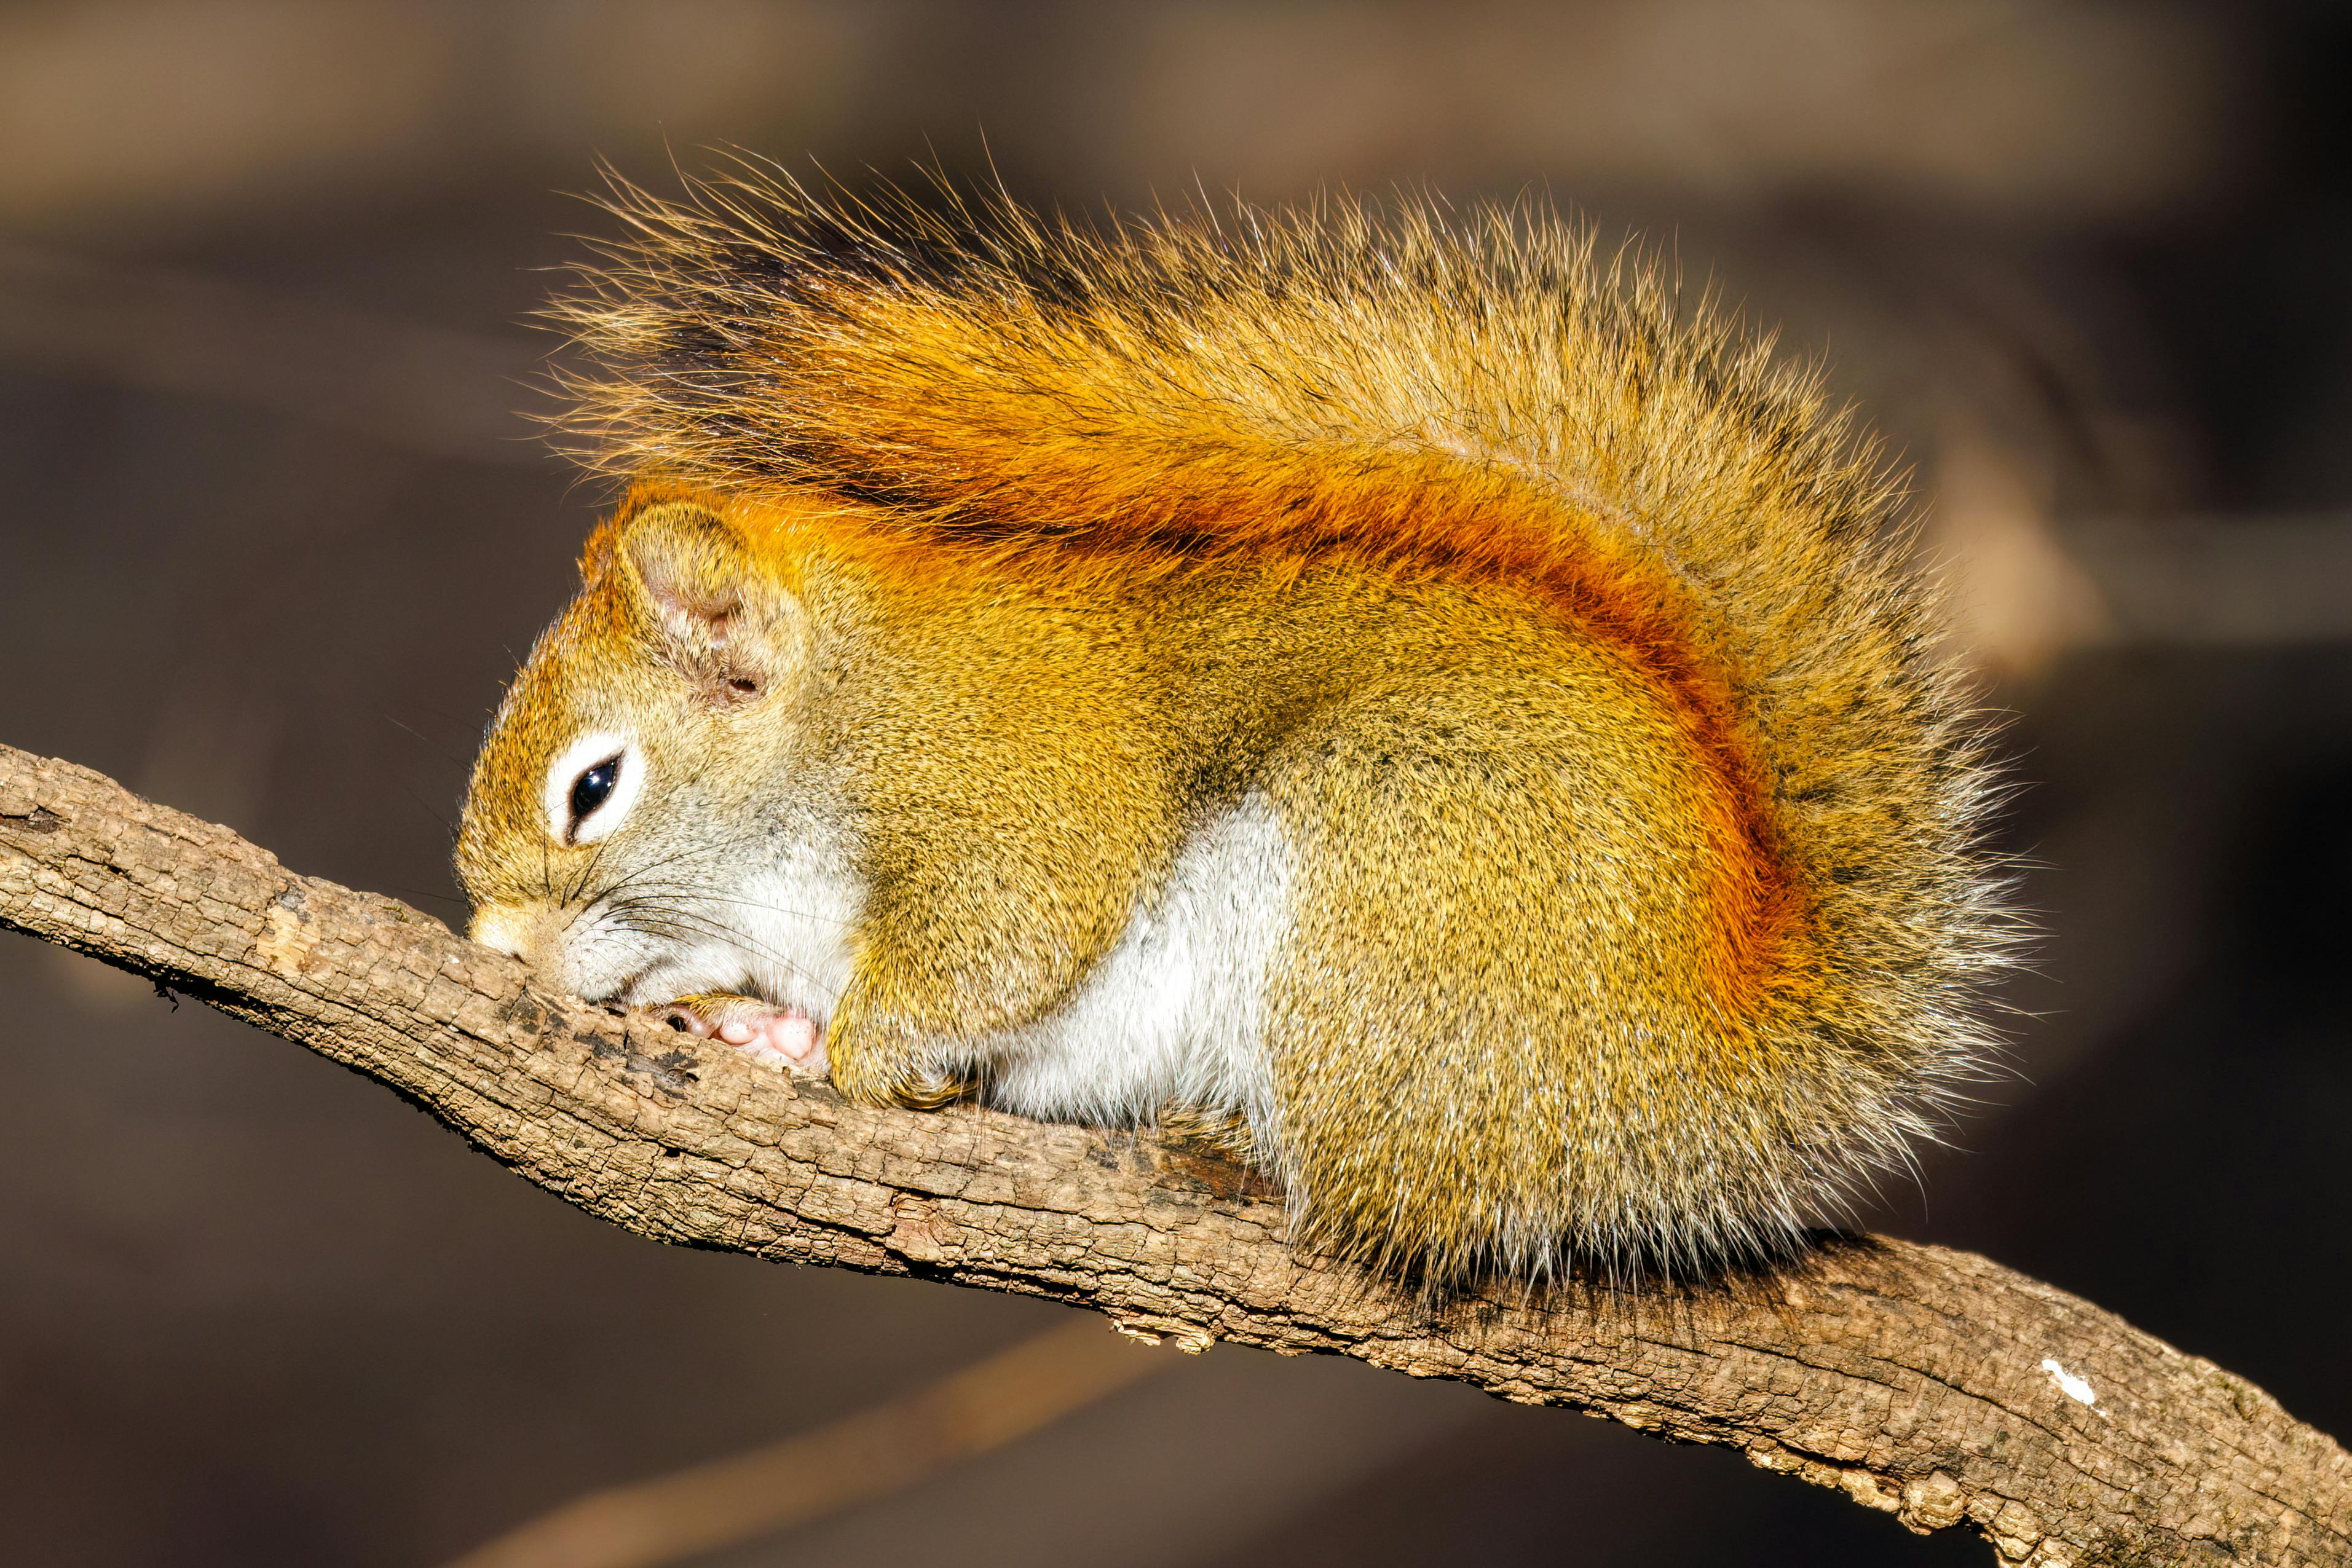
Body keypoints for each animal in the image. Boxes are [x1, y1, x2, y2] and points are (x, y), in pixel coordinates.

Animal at [455, 174, 2015, 1282]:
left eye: (592, 787)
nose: (500, 948)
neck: (842, 706)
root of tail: (1719, 1075)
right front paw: (752, 1025)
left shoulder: (1005, 780)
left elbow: (996, 940)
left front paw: (855, 1049)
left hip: (1391, 883)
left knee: (1402, 1194)